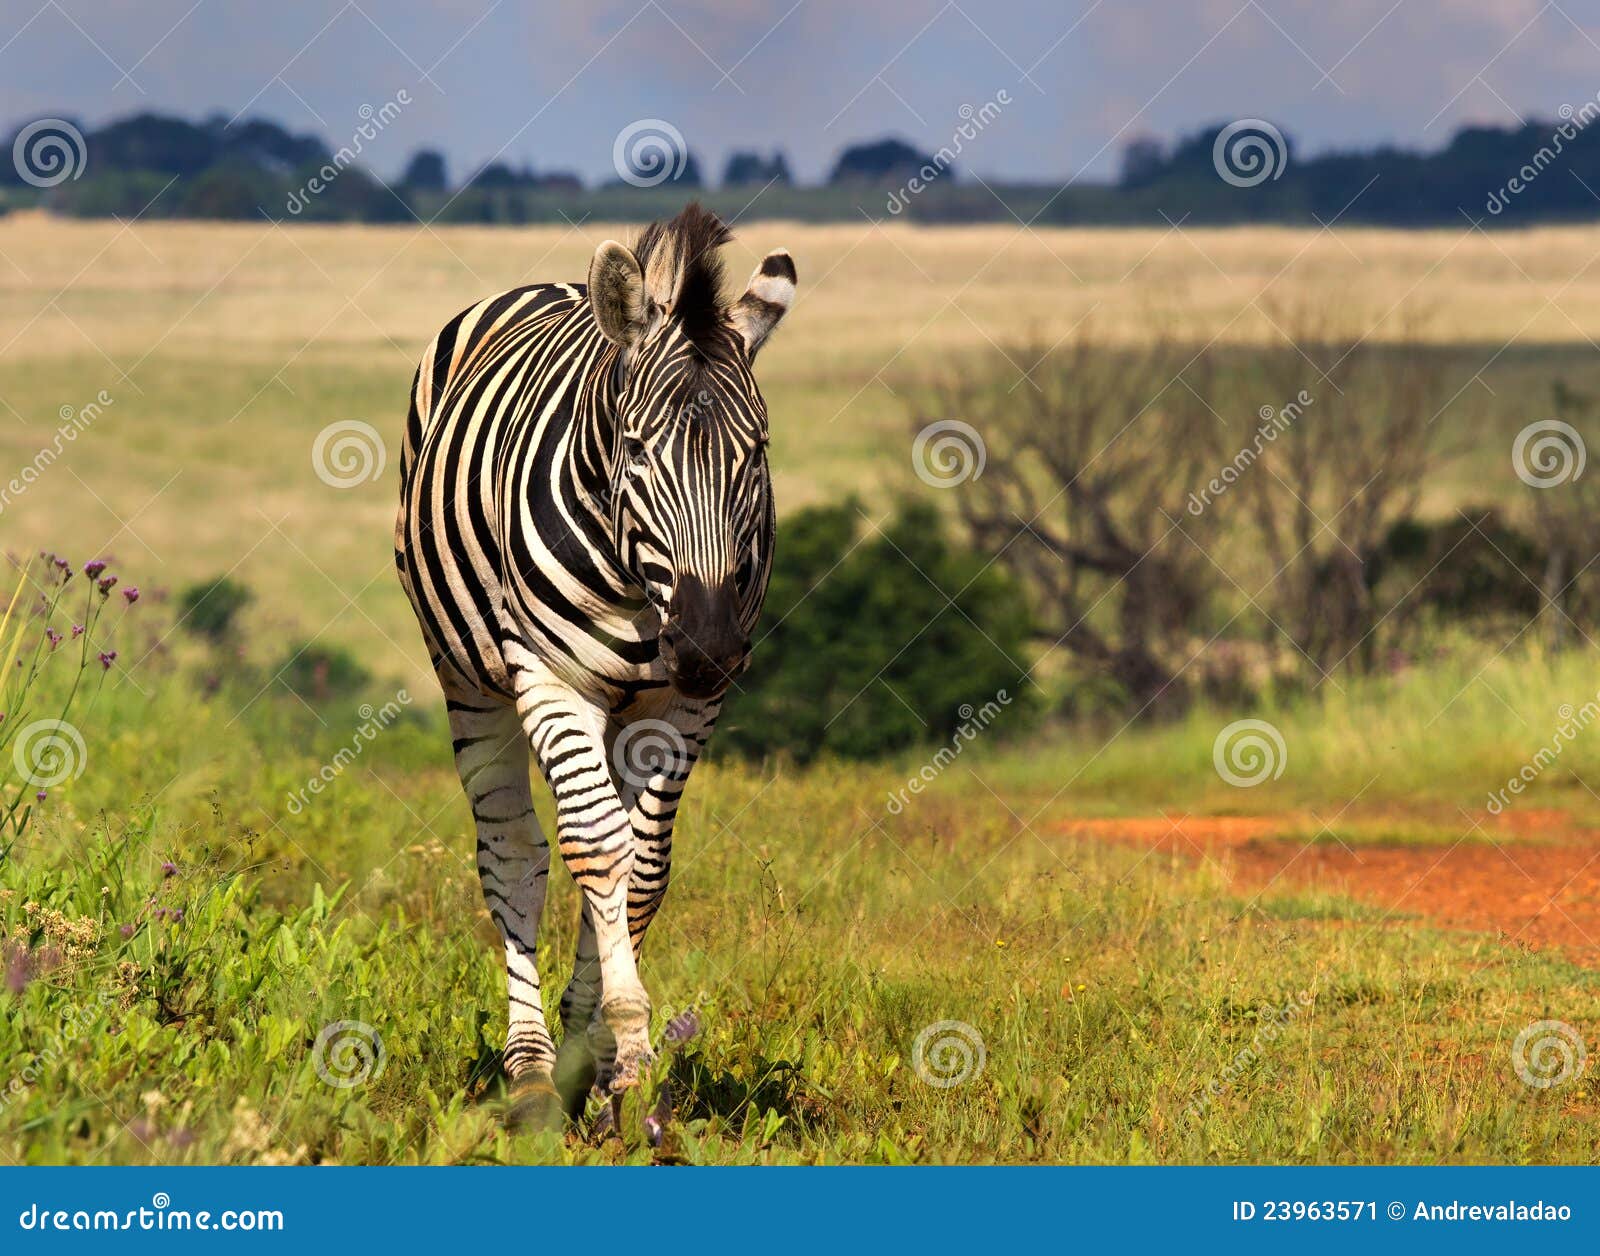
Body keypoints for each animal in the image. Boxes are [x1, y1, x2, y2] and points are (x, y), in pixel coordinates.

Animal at [394, 204, 795, 1127]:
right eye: (638, 450)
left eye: (755, 452)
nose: (708, 648)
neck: (637, 582)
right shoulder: (551, 679)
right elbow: (594, 852)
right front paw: (633, 1045)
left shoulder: (683, 711)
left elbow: (640, 867)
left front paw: (615, 1067)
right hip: (469, 680)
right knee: (516, 851)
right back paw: (534, 1072)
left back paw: (577, 1055)